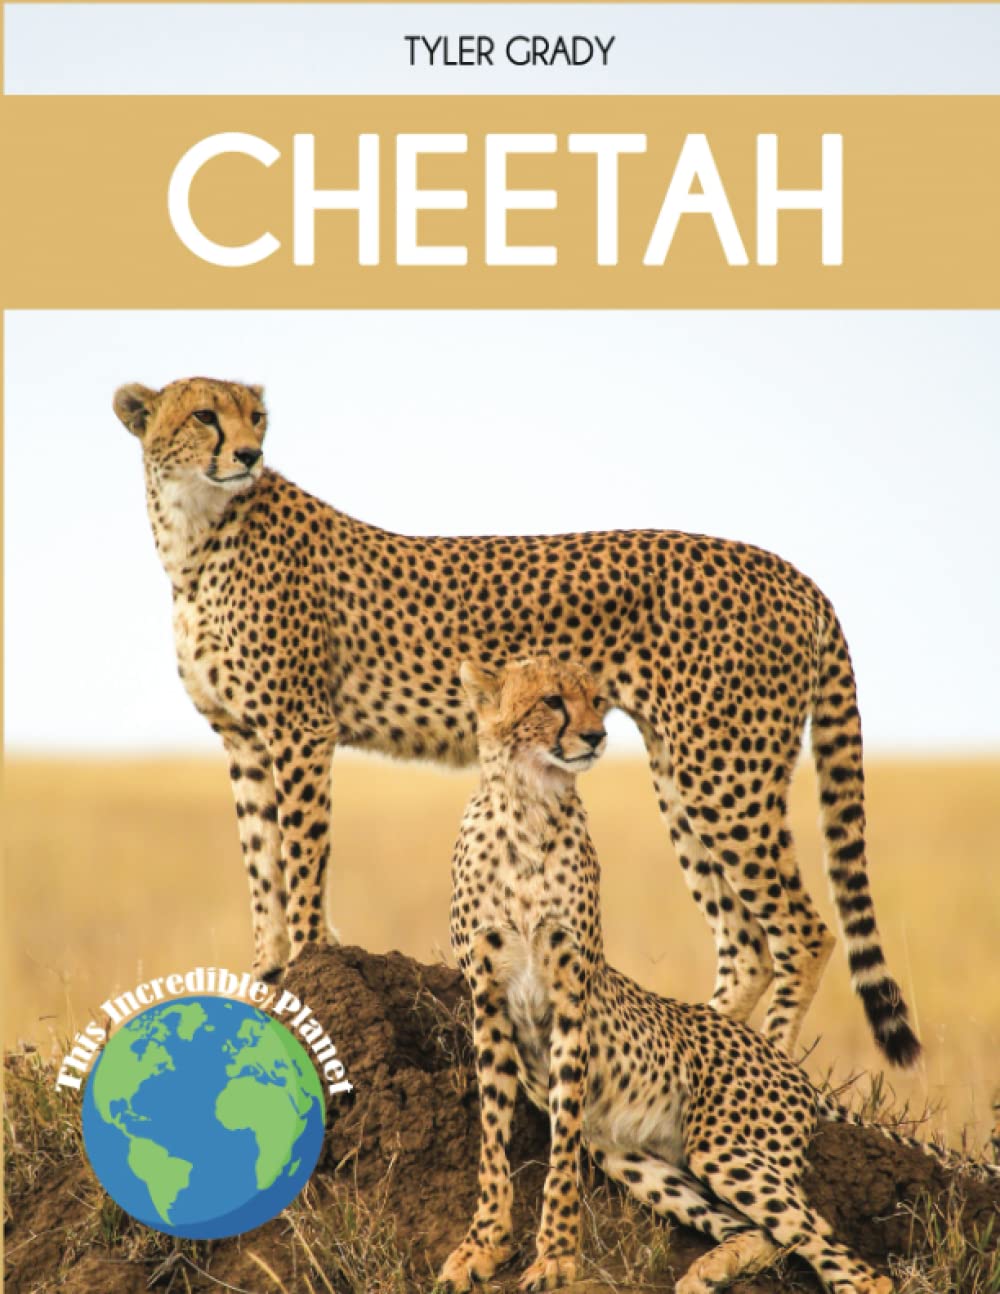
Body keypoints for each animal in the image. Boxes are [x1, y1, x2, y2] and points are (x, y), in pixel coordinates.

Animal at [114, 375, 919, 1064]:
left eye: (257, 417)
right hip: (683, 774)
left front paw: (313, 957)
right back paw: (697, 1048)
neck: (195, 534)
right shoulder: (244, 738)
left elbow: (302, 854)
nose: (249, 454)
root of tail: (794, 573)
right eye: (205, 415)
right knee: (745, 941)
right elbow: (262, 866)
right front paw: (268, 974)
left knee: (803, 932)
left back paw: (767, 1064)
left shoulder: (299, 726)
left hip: (723, 772)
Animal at [439, 656, 987, 1294]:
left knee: (844, 1260)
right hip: (635, 1158)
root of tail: (788, 1066)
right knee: (766, 1234)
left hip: (725, 1148)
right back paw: (710, 1268)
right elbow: (493, 1138)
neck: (529, 806)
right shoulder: (488, 1001)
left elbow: (560, 1153)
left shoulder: (571, 1000)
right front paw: (481, 1247)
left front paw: (554, 1257)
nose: (596, 736)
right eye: (552, 701)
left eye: (597, 700)